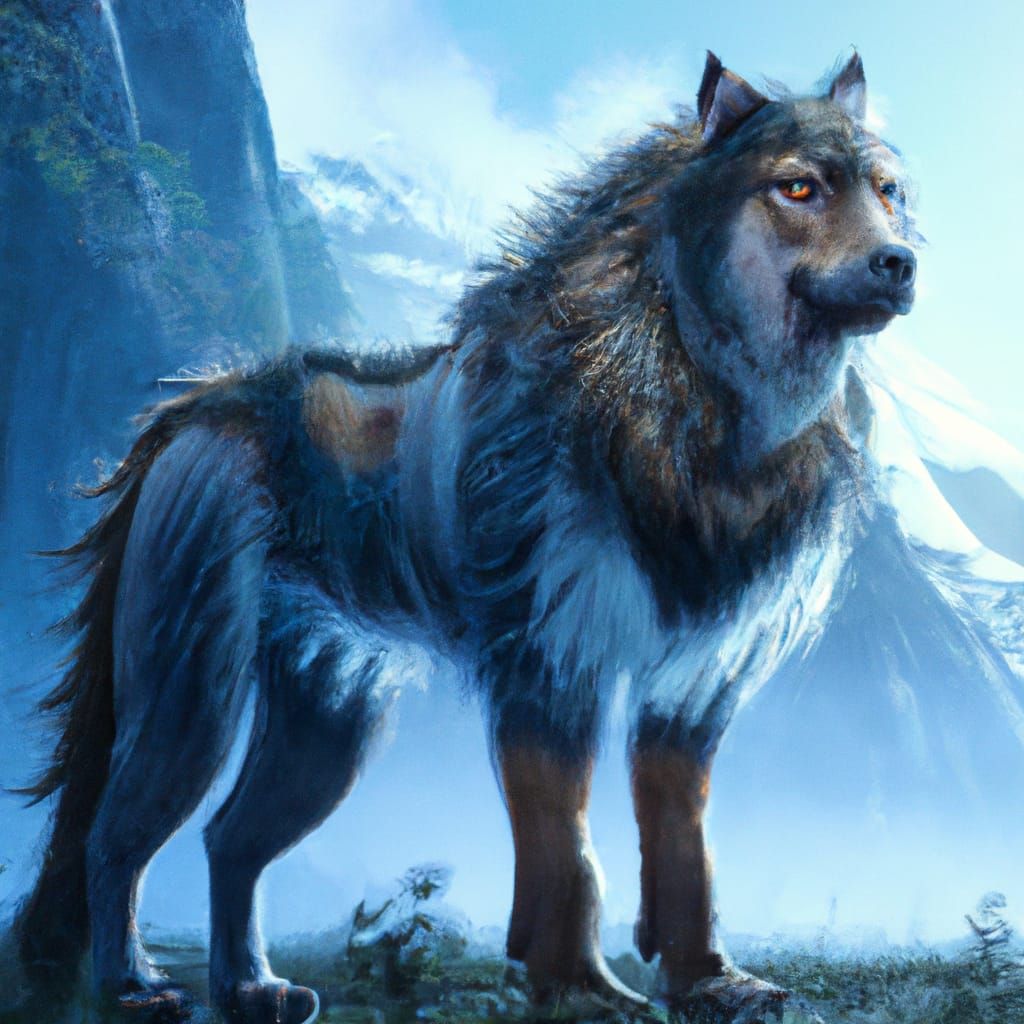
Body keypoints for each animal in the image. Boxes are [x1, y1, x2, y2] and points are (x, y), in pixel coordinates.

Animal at [14, 51, 918, 1023]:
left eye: (888, 192)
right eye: (800, 188)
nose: (899, 263)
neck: (701, 408)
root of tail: (199, 403)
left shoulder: (692, 692)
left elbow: (685, 851)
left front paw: (710, 981)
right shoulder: (550, 666)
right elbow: (565, 848)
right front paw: (576, 988)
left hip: (327, 731)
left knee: (229, 840)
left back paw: (253, 988)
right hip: (196, 698)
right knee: (114, 835)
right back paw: (134, 987)